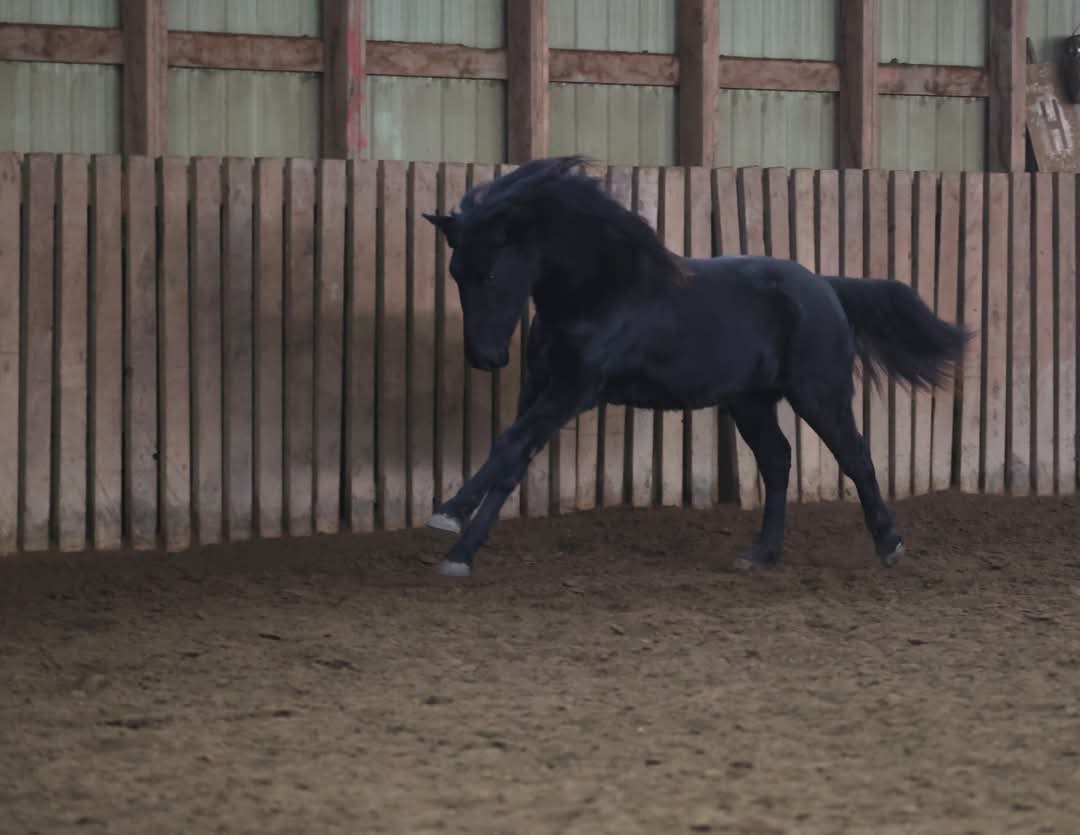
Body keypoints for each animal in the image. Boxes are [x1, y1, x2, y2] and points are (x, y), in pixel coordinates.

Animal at [422, 155, 972, 578]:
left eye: (492, 273)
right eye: (456, 272)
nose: (486, 357)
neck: (601, 292)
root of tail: (825, 288)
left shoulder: (573, 390)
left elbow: (507, 448)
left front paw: (447, 515)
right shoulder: (539, 390)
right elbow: (511, 461)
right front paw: (461, 551)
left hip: (819, 394)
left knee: (855, 456)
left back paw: (889, 543)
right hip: (751, 403)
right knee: (778, 460)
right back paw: (761, 554)